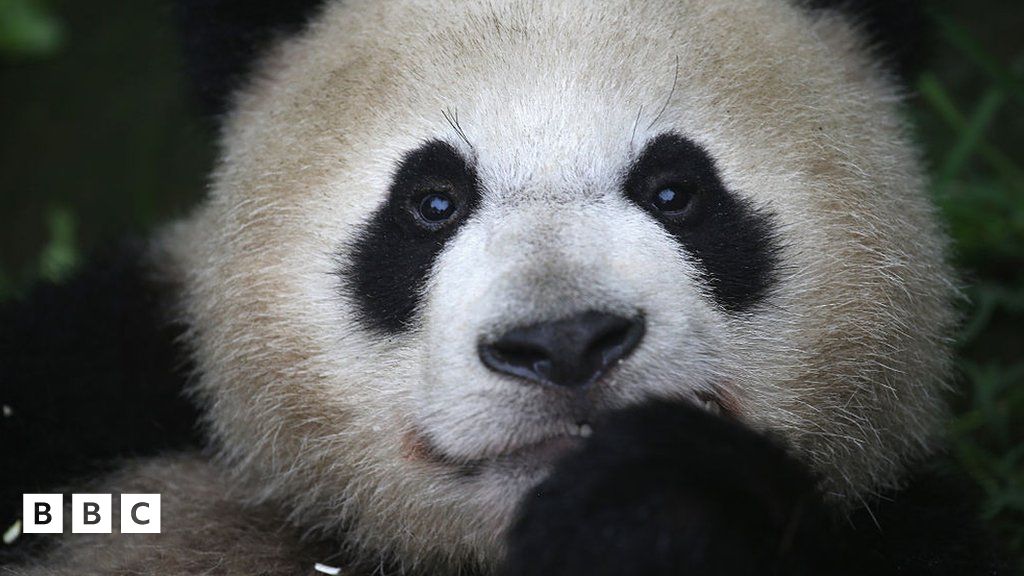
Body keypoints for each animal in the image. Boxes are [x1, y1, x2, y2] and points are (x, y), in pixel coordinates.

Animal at [0, 0, 1007, 574]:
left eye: (676, 191)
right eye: (432, 201)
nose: (565, 343)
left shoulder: (904, 526)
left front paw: (645, 513)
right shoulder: (106, 367)